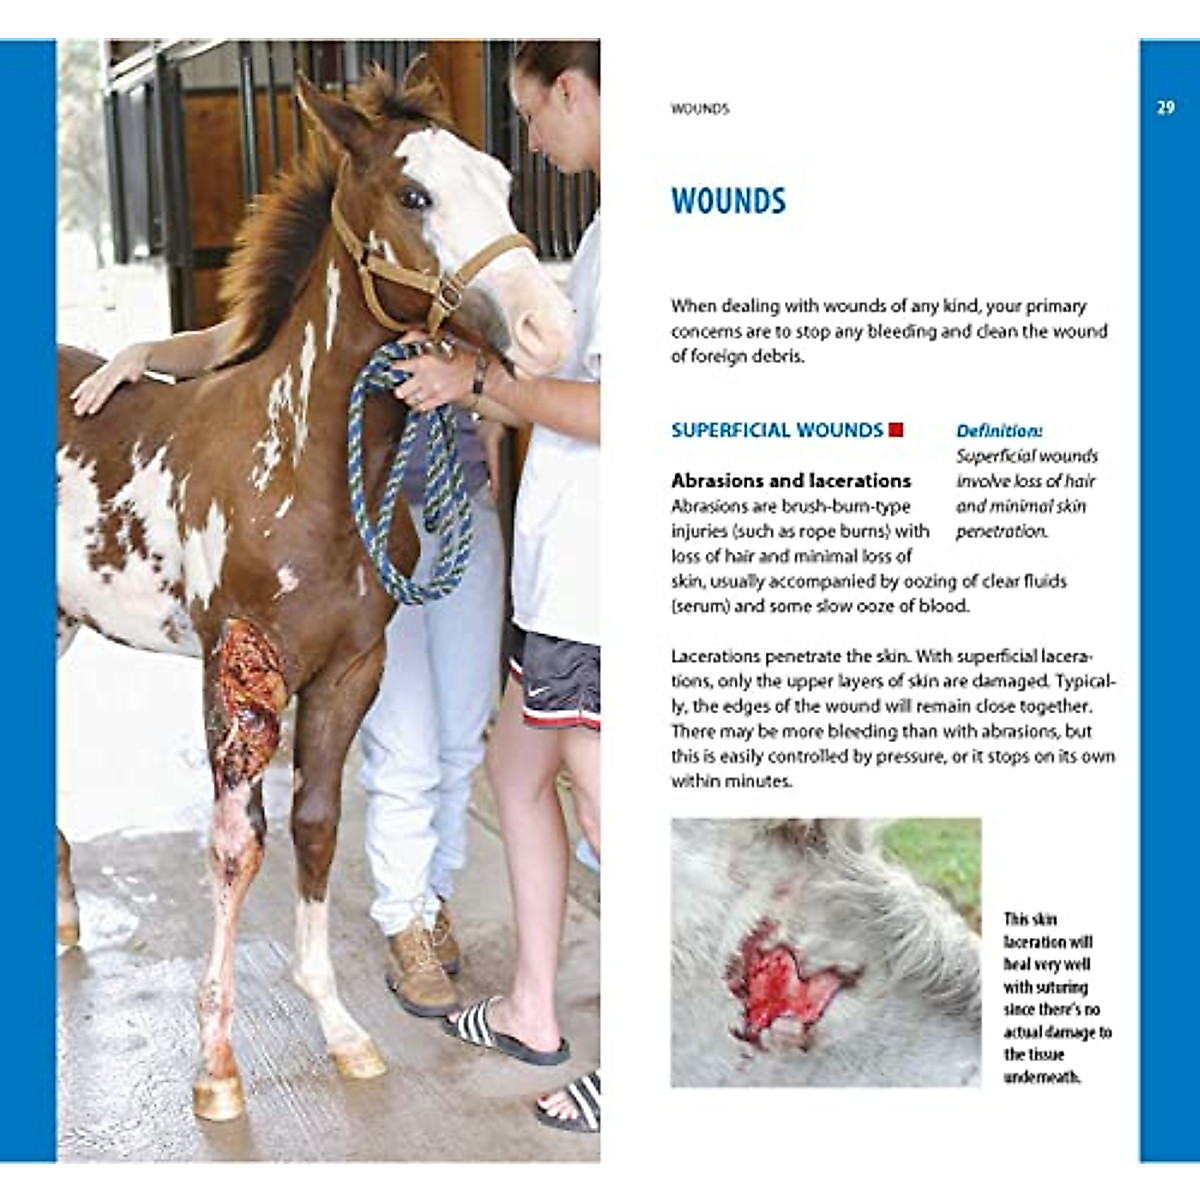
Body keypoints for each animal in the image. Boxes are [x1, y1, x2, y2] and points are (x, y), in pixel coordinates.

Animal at [56, 62, 575, 1122]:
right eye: (414, 196)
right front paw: (217, 1068)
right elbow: (234, 844)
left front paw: (341, 1032)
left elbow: (317, 828)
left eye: (507, 182)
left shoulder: (349, 672)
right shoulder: (237, 670)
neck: (297, 458)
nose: (548, 330)